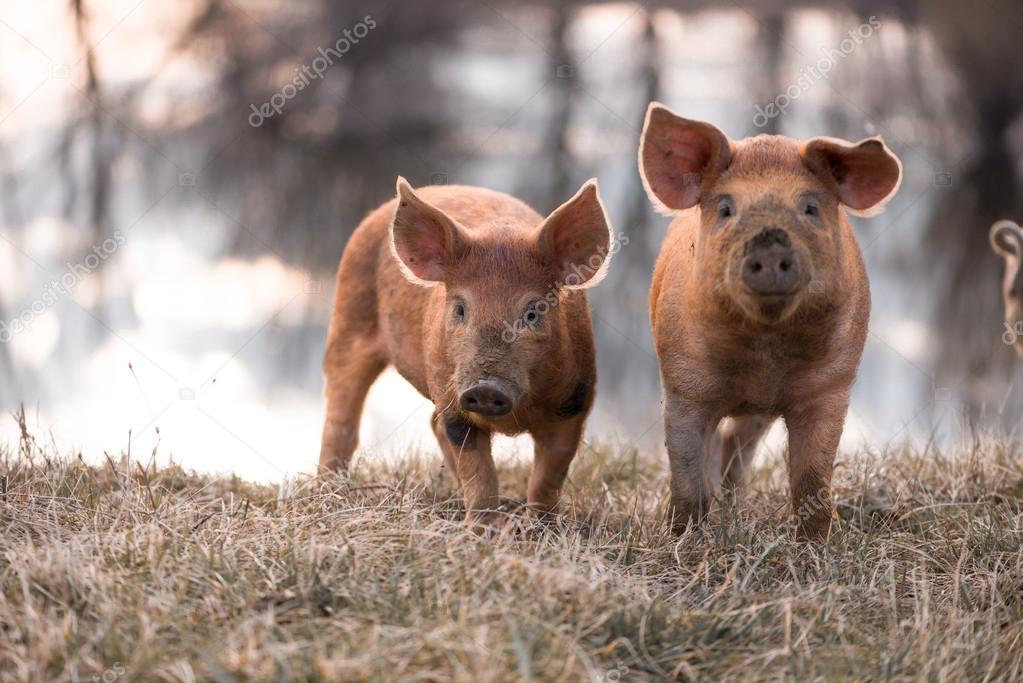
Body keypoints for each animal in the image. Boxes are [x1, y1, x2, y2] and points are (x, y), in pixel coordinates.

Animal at [319, 177, 615, 523]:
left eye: (532, 313)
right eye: (460, 309)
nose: (486, 387)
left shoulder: (574, 405)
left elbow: (548, 478)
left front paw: (539, 528)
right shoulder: (455, 409)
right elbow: (480, 476)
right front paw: (481, 529)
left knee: (429, 423)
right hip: (348, 320)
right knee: (341, 418)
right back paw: (326, 492)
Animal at [638, 102, 902, 540]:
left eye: (810, 208)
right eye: (726, 209)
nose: (770, 239)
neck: (764, 357)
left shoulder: (830, 388)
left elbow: (811, 476)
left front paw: (818, 541)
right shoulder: (684, 384)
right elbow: (686, 472)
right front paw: (682, 538)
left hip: (760, 415)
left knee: (736, 447)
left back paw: (735, 506)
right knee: (721, 445)